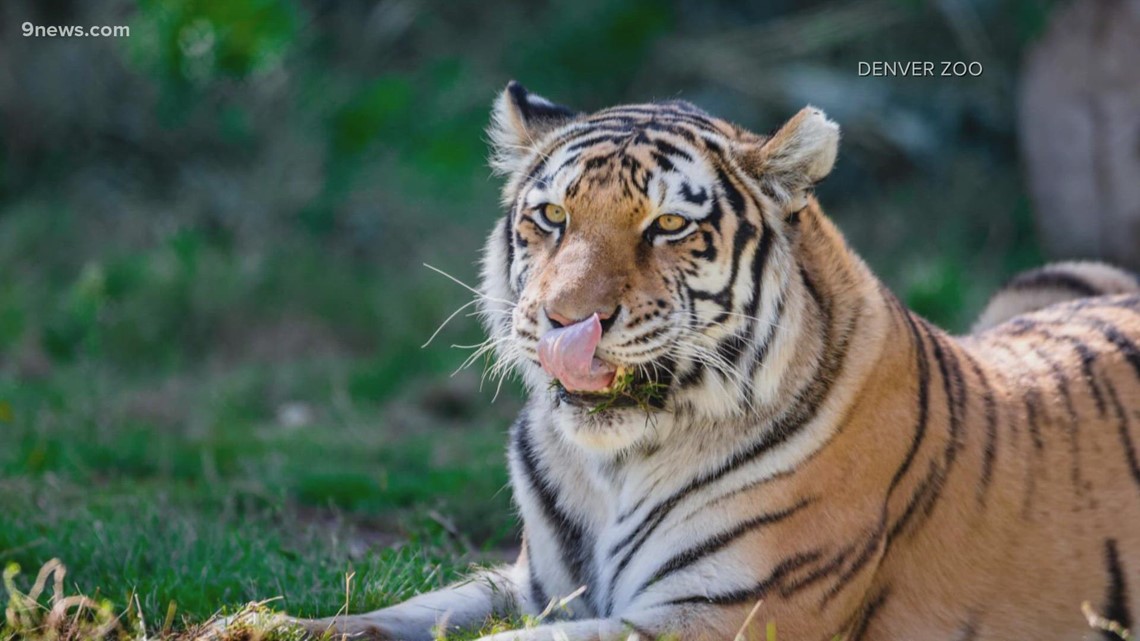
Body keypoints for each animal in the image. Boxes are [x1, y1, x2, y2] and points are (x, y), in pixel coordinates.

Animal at [296, 83, 1140, 641]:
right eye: (553, 215)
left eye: (669, 225)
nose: (565, 321)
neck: (611, 465)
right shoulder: (532, 582)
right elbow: (418, 606)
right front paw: (294, 621)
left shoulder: (722, 613)